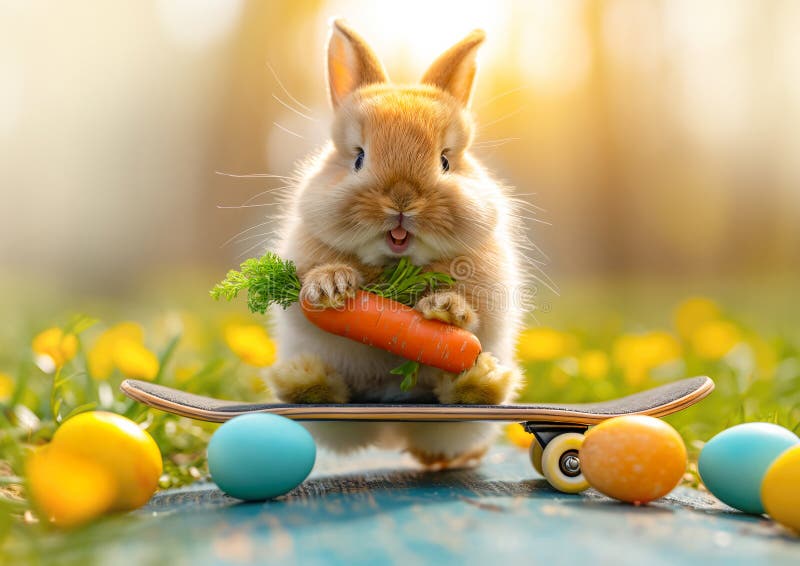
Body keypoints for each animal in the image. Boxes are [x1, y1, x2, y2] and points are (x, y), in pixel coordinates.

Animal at [264, 19, 527, 468]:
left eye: (445, 160)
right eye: (358, 158)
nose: (402, 199)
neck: (393, 263)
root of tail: (391, 428)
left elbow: (474, 317)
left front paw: (445, 309)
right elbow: (309, 304)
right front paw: (331, 285)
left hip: (461, 423)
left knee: (457, 411)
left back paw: (483, 382)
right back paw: (303, 380)